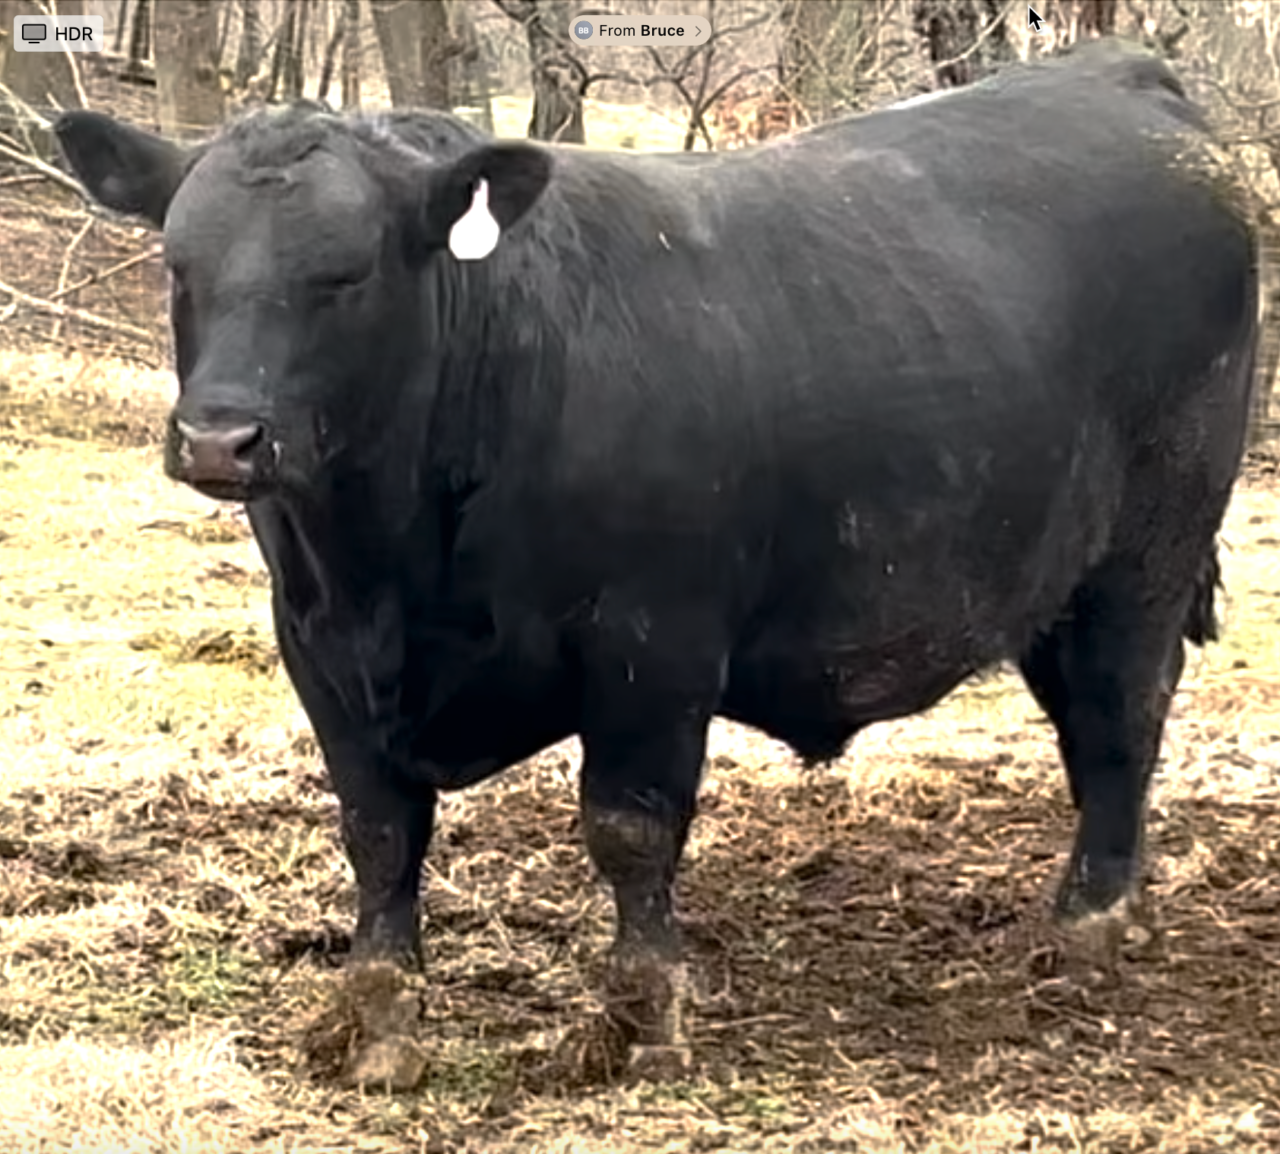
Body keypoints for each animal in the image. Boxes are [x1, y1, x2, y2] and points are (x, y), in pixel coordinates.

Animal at [55, 40, 1258, 1070]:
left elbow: (629, 829)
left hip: (1144, 555)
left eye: (345, 273)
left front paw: (638, 1017)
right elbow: (379, 832)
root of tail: (1122, 76)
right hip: (1052, 577)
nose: (220, 436)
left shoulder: (652, 641)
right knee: (1090, 726)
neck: (389, 566)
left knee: (1119, 717)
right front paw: (377, 1016)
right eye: (179, 265)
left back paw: (1085, 933)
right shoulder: (317, 644)